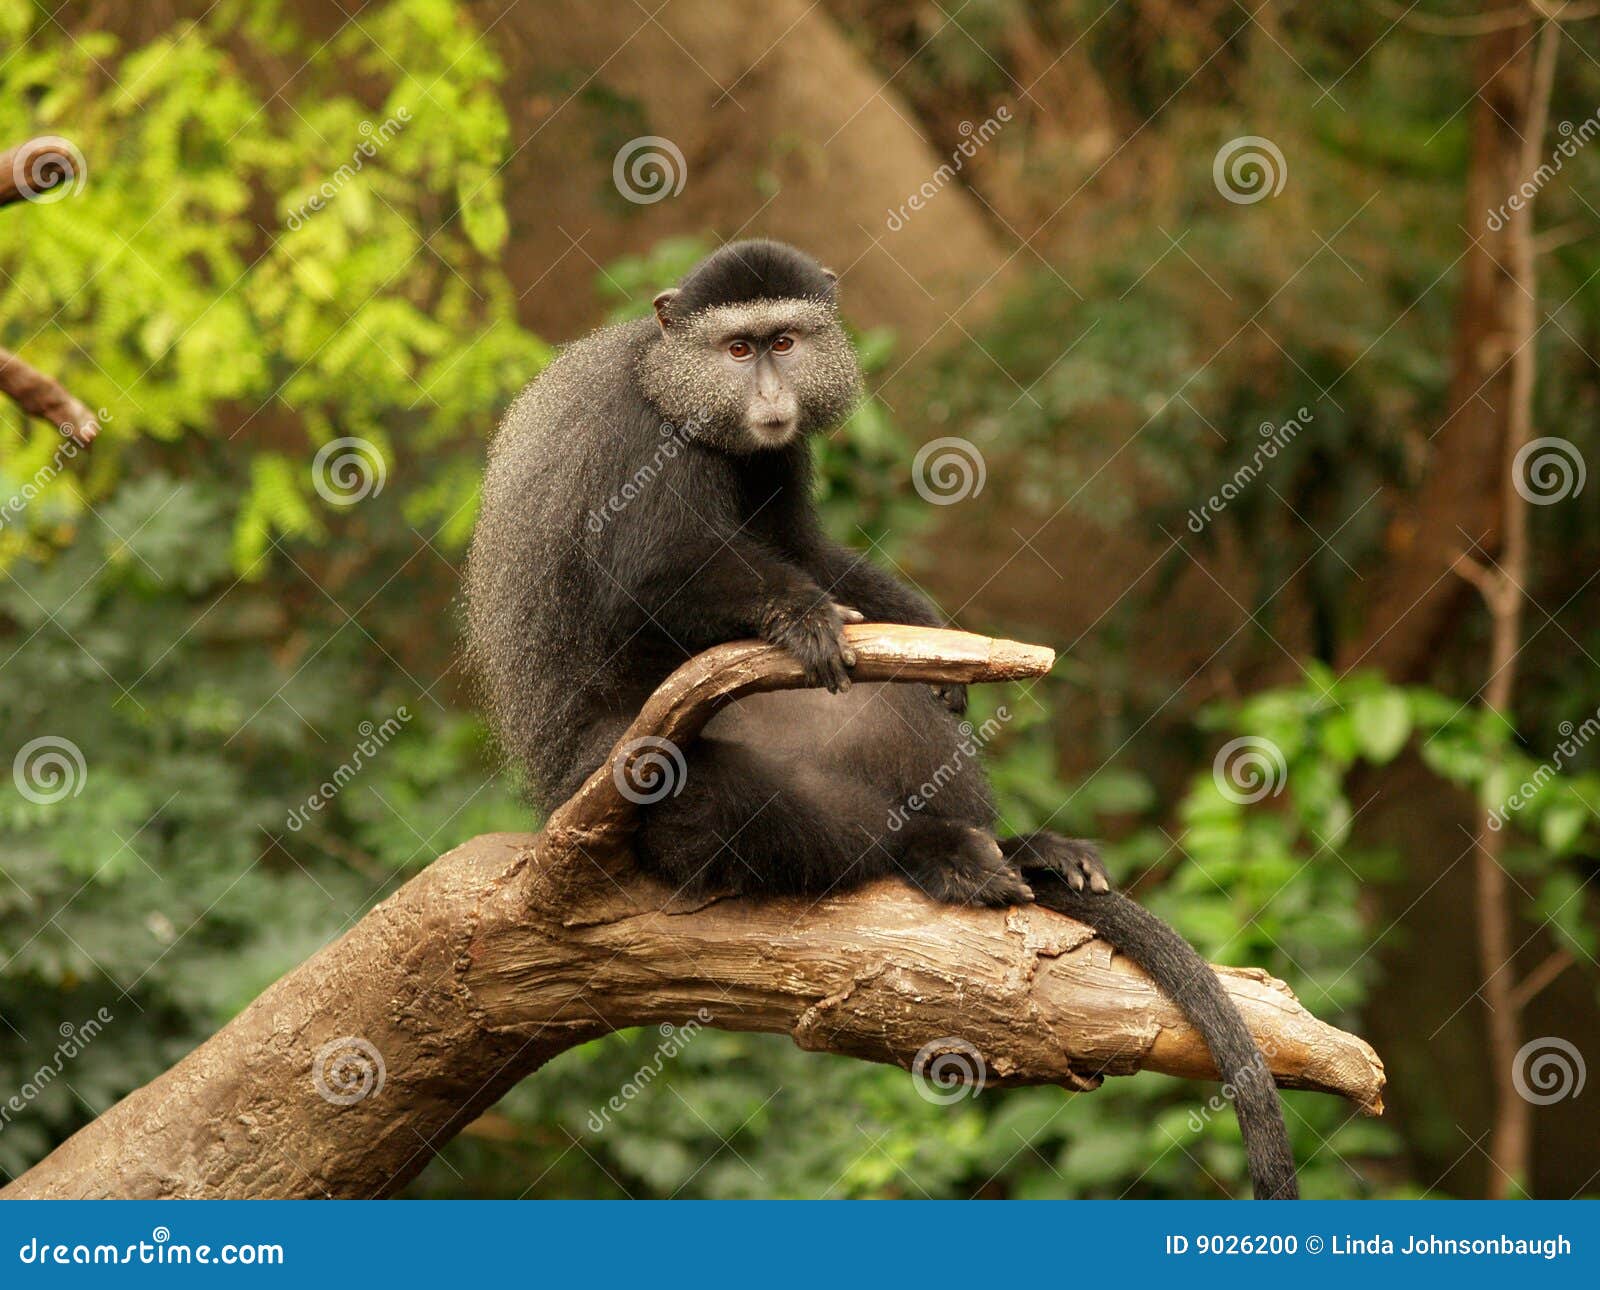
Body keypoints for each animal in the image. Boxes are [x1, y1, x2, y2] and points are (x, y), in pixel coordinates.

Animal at [464, 239, 1297, 1200]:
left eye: (786, 342)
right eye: (738, 350)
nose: (771, 397)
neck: (674, 386)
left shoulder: (776, 460)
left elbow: (806, 551)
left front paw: (924, 631)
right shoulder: (640, 444)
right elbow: (649, 578)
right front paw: (797, 615)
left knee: (893, 709)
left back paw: (1017, 850)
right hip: (617, 775)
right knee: (734, 803)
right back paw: (933, 856)